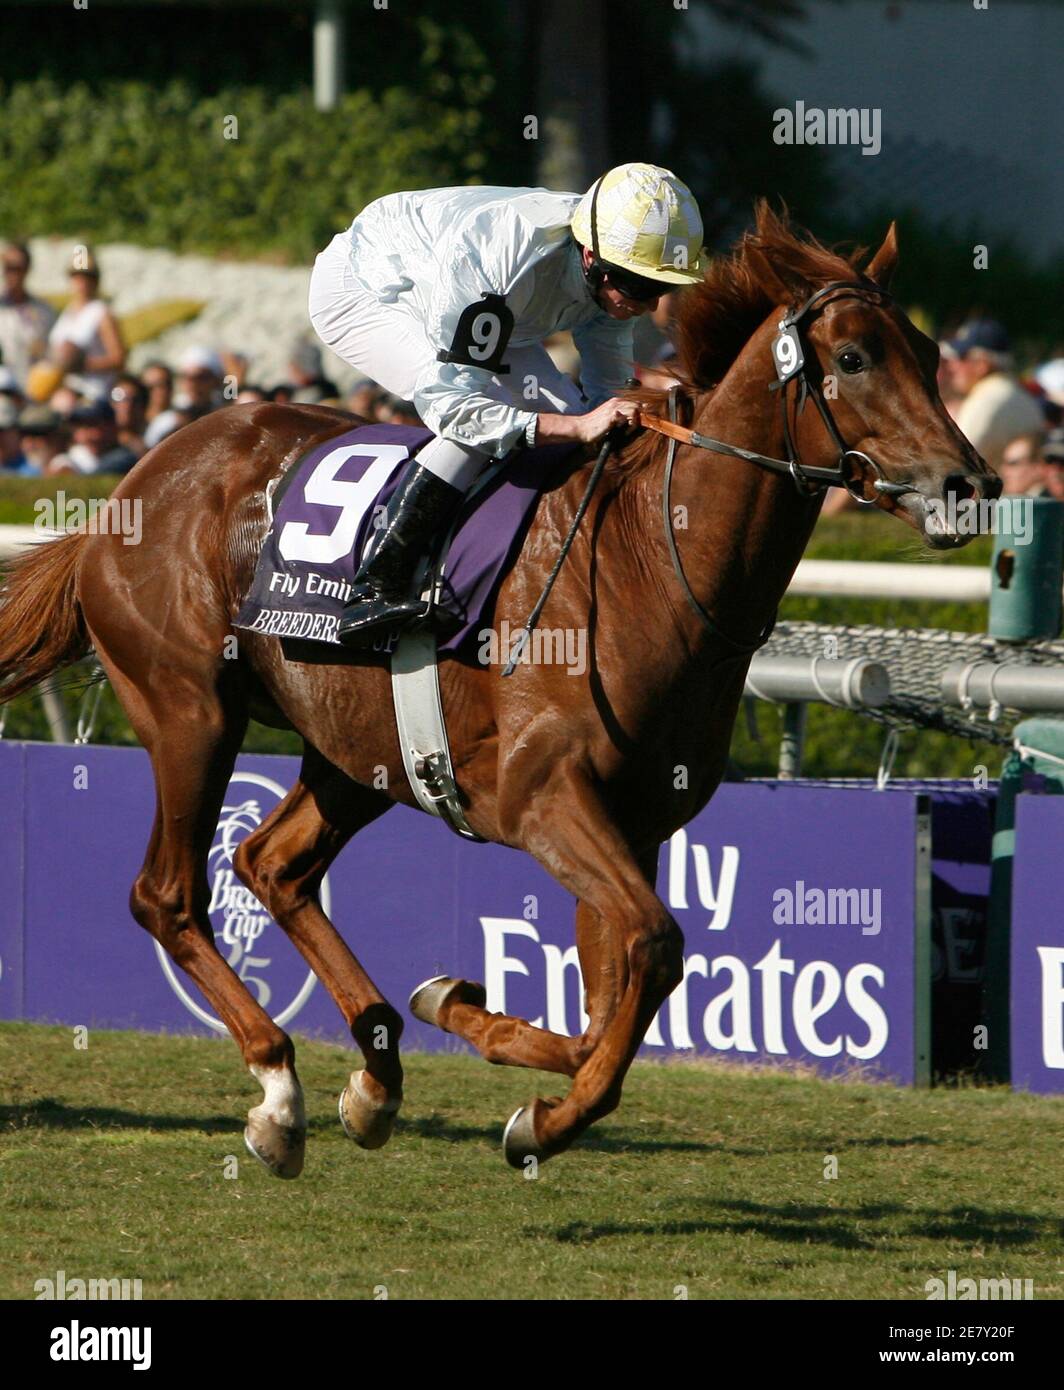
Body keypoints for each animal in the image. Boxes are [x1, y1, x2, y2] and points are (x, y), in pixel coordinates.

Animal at [0, 204, 998, 1178]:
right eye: (855, 358)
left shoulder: (633, 820)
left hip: (357, 750)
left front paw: (466, 1018)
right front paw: (540, 1118)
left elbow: (612, 996)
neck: (652, 564)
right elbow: (652, 949)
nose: (971, 484)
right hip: (190, 710)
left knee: (272, 866)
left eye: (929, 351)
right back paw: (279, 1090)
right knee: (169, 894)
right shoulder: (541, 796)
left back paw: (375, 1070)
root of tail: (124, 494)